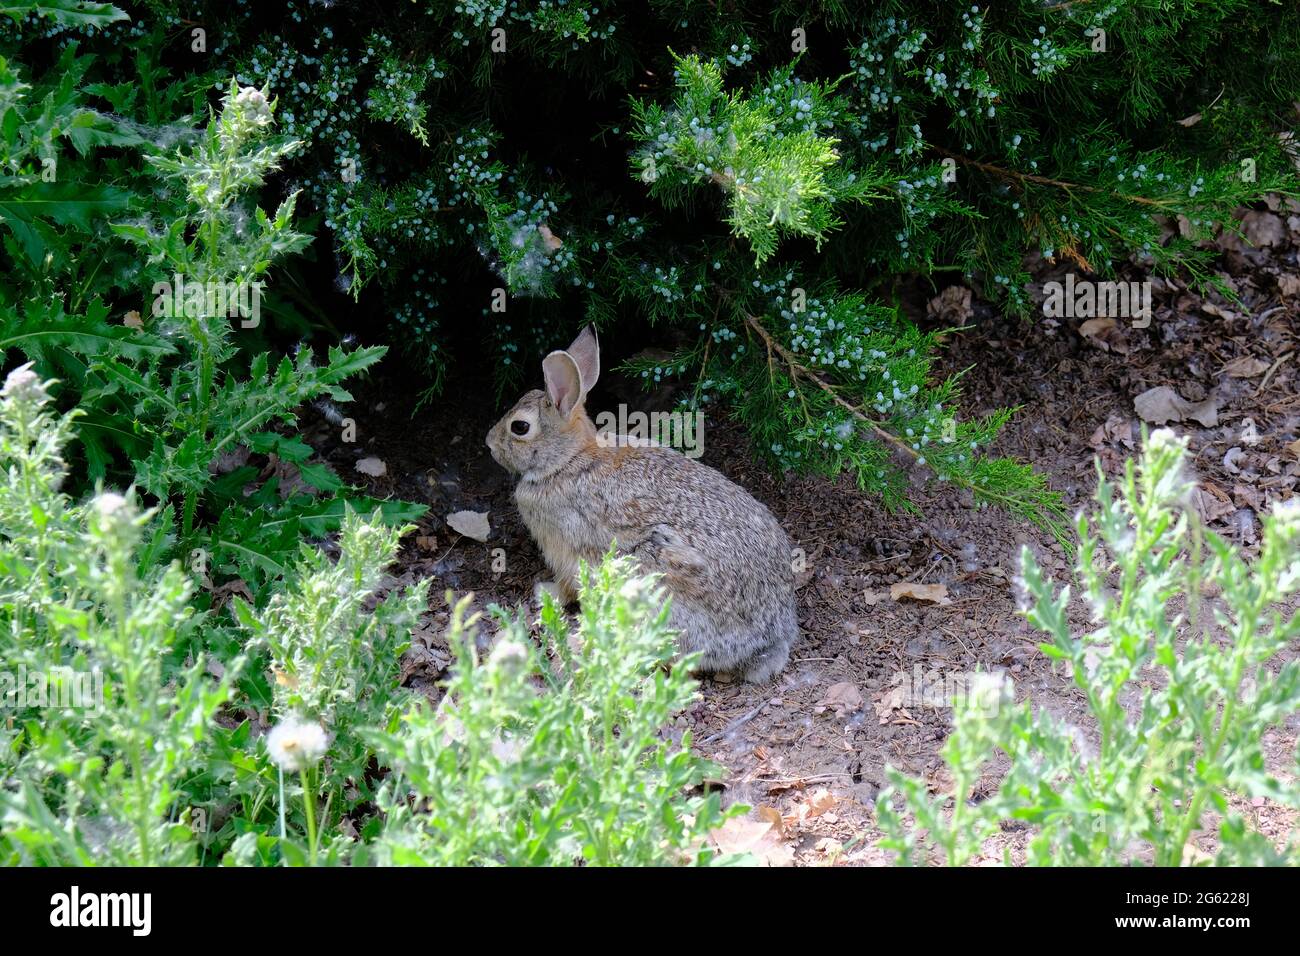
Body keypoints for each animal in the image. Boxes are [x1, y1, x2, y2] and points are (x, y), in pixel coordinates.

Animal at [486, 325, 799, 682]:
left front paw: (545, 592)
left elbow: (567, 586)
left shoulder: (568, 551)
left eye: (519, 427)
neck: (569, 461)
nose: (489, 442)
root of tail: (769, 639)